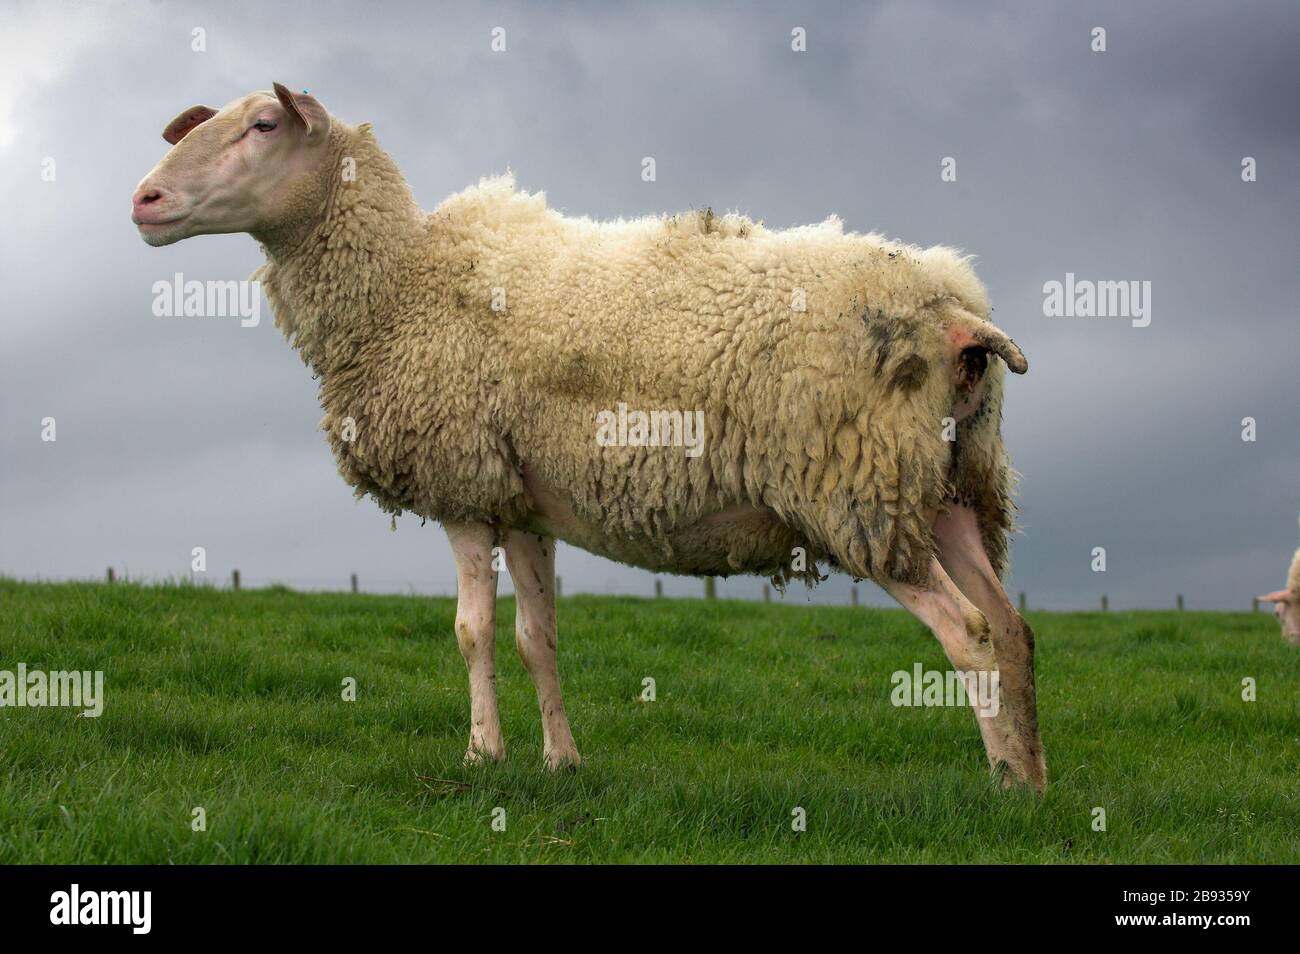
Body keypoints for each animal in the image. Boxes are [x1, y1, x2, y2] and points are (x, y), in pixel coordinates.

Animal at [132, 83, 1046, 791]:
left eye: (264, 125)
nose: (143, 200)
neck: (397, 287)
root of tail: (958, 313)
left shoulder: (464, 485)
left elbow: (471, 631)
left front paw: (482, 756)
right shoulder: (525, 502)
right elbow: (538, 638)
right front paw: (560, 762)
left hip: (860, 488)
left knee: (967, 633)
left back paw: (1000, 787)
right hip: (951, 487)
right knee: (1012, 628)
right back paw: (1034, 788)